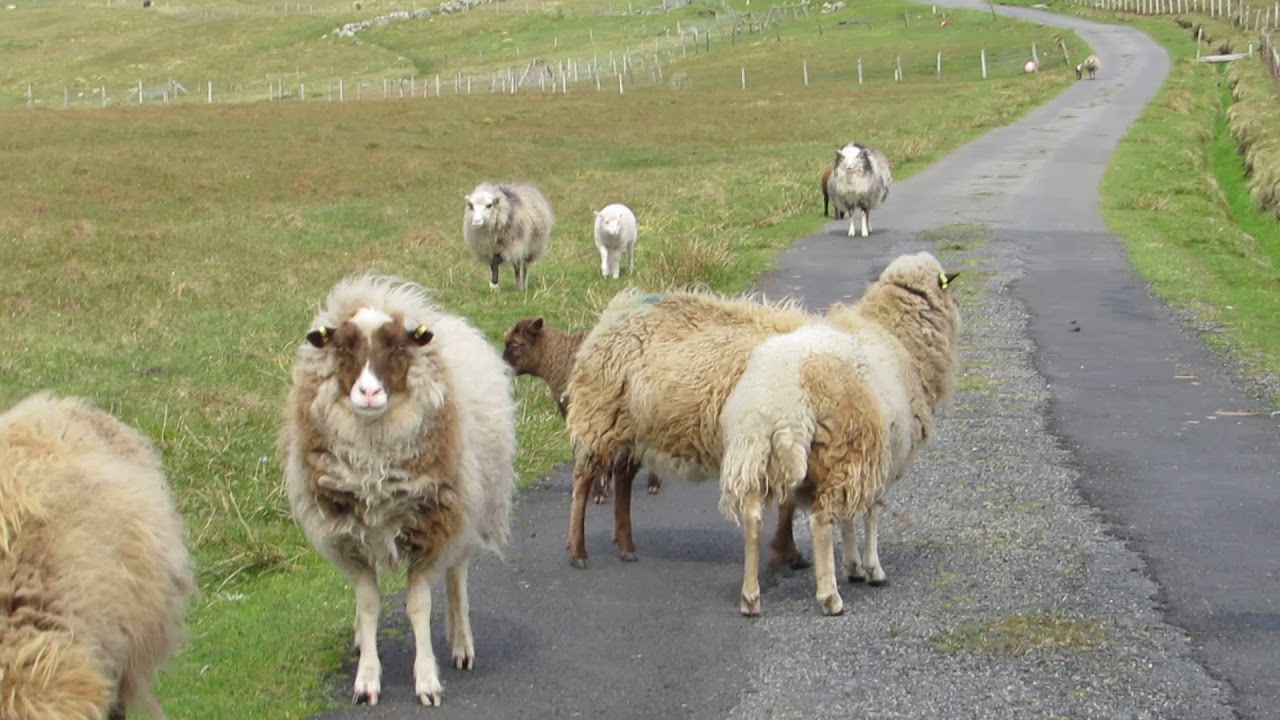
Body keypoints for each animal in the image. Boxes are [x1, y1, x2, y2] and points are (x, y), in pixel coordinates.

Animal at [280, 273, 516, 707]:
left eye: (397, 347)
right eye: (343, 347)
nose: (369, 393)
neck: (375, 463)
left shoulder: (431, 529)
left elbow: (418, 605)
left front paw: (426, 681)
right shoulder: (350, 539)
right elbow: (369, 603)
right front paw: (367, 678)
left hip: (470, 507)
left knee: (457, 576)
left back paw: (461, 643)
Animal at [563, 289, 829, 571]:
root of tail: (615, 312)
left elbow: (788, 502)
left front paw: (788, 551)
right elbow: (787, 503)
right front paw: (786, 552)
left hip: (635, 429)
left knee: (623, 477)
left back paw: (626, 547)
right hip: (600, 418)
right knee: (583, 480)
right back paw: (578, 551)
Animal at [720, 252, 961, 616]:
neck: (893, 332)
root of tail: (782, 399)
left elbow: (849, 517)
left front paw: (853, 565)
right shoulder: (877, 455)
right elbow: (871, 512)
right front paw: (872, 569)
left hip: (752, 452)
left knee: (753, 519)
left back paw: (750, 598)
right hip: (843, 447)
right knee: (821, 521)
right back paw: (830, 597)